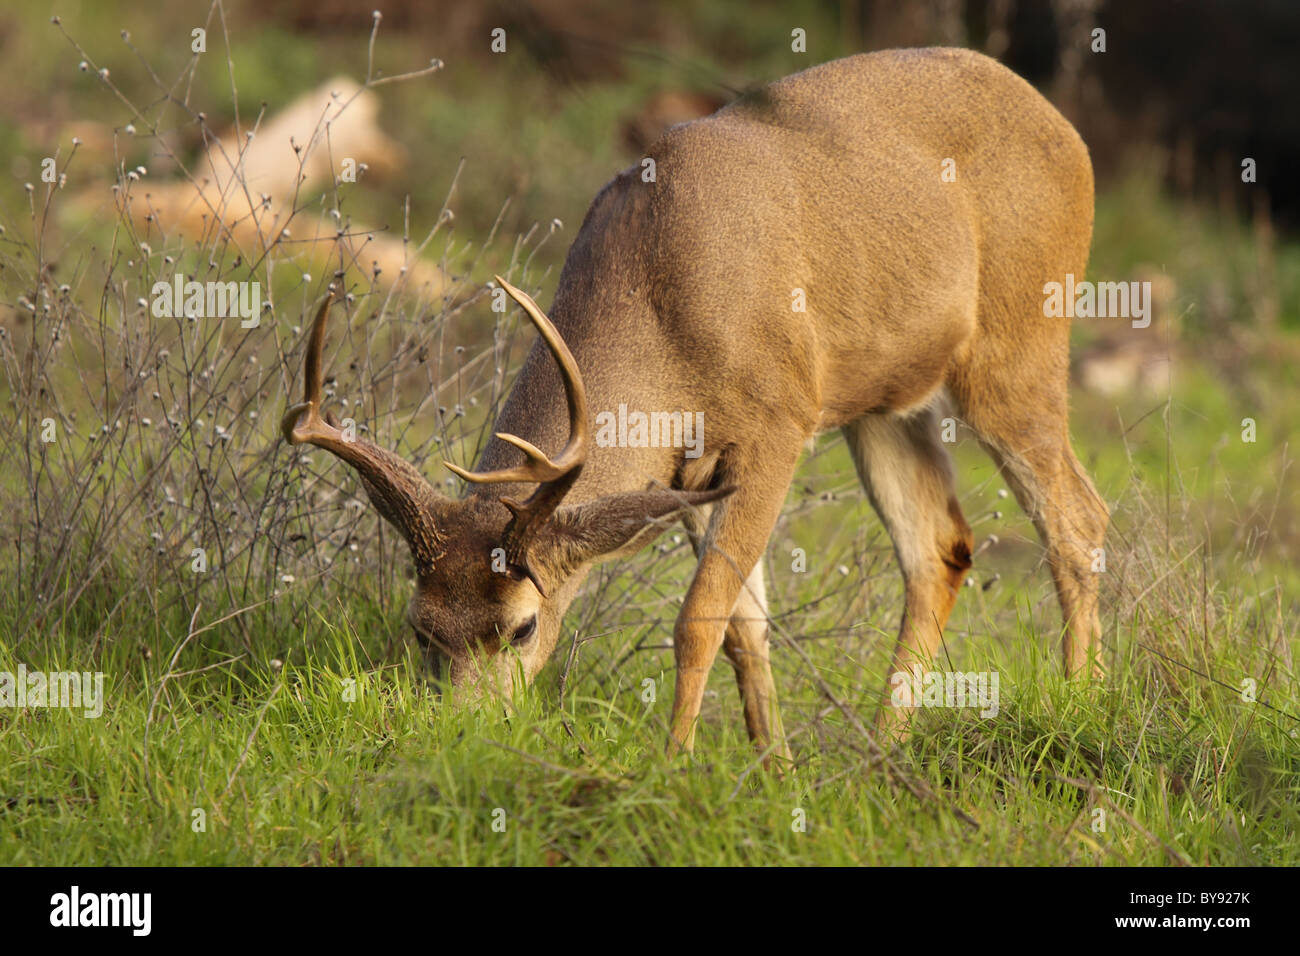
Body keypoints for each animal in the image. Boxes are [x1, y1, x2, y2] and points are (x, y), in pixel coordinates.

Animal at [281, 47, 1109, 766]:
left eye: (520, 628)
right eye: (421, 628)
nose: (462, 735)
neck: (660, 304)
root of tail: (1068, 132)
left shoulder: (778, 423)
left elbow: (699, 617)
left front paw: (673, 763)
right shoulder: (688, 472)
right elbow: (747, 624)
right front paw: (774, 771)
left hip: (1017, 346)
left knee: (1078, 516)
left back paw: (1080, 703)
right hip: (885, 404)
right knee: (941, 546)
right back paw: (882, 752)